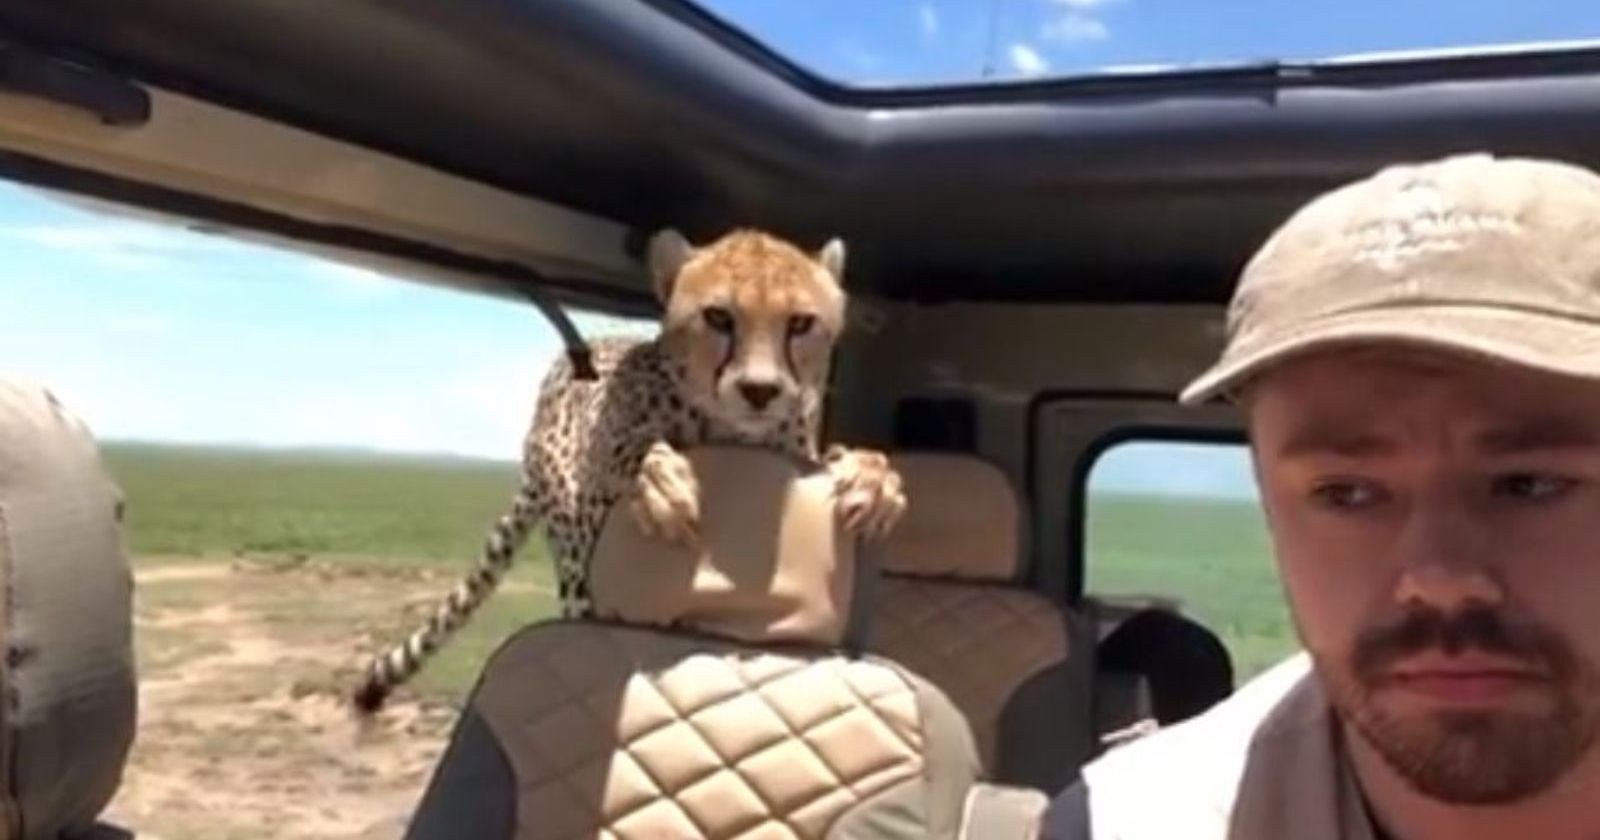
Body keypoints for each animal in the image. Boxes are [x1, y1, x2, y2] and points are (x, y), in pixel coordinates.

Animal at [349, 227, 908, 714]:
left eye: (800, 324)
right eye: (718, 317)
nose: (759, 390)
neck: (731, 431)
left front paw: (874, 480)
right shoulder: (595, 506)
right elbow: (627, 453)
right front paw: (659, 483)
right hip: (571, 551)